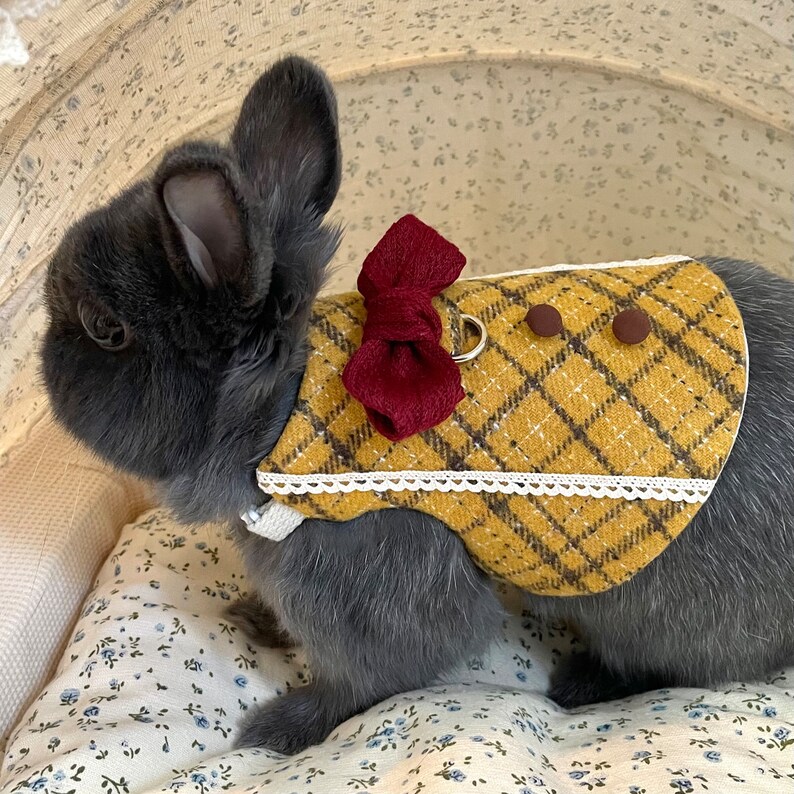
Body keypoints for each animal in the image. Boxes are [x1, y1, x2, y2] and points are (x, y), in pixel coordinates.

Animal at [41, 55, 794, 757]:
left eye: (105, 329)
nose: (41, 353)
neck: (285, 406)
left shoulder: (365, 595)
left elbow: (360, 683)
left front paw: (277, 731)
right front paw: (252, 617)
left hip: (645, 611)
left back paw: (584, 684)